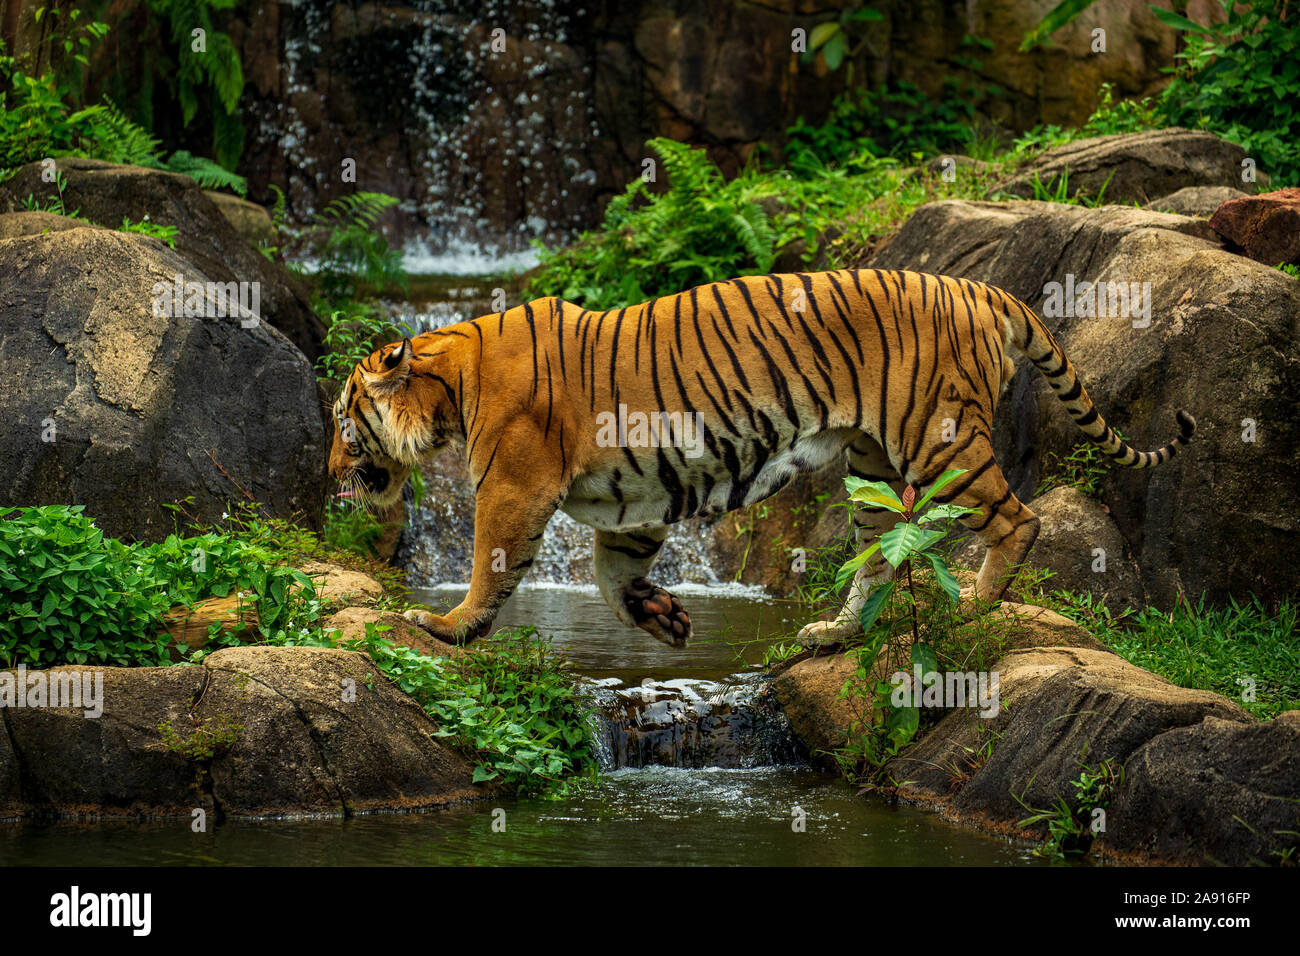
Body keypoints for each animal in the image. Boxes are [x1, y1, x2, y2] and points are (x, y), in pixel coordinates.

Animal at [327, 268, 1194, 648]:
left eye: (342, 421)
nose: (333, 476)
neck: (450, 382)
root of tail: (981, 288)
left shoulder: (512, 487)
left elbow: (487, 565)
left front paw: (446, 624)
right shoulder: (629, 501)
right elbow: (610, 575)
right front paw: (662, 616)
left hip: (940, 439)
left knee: (1018, 518)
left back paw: (974, 609)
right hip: (873, 467)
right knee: (885, 554)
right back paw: (835, 634)